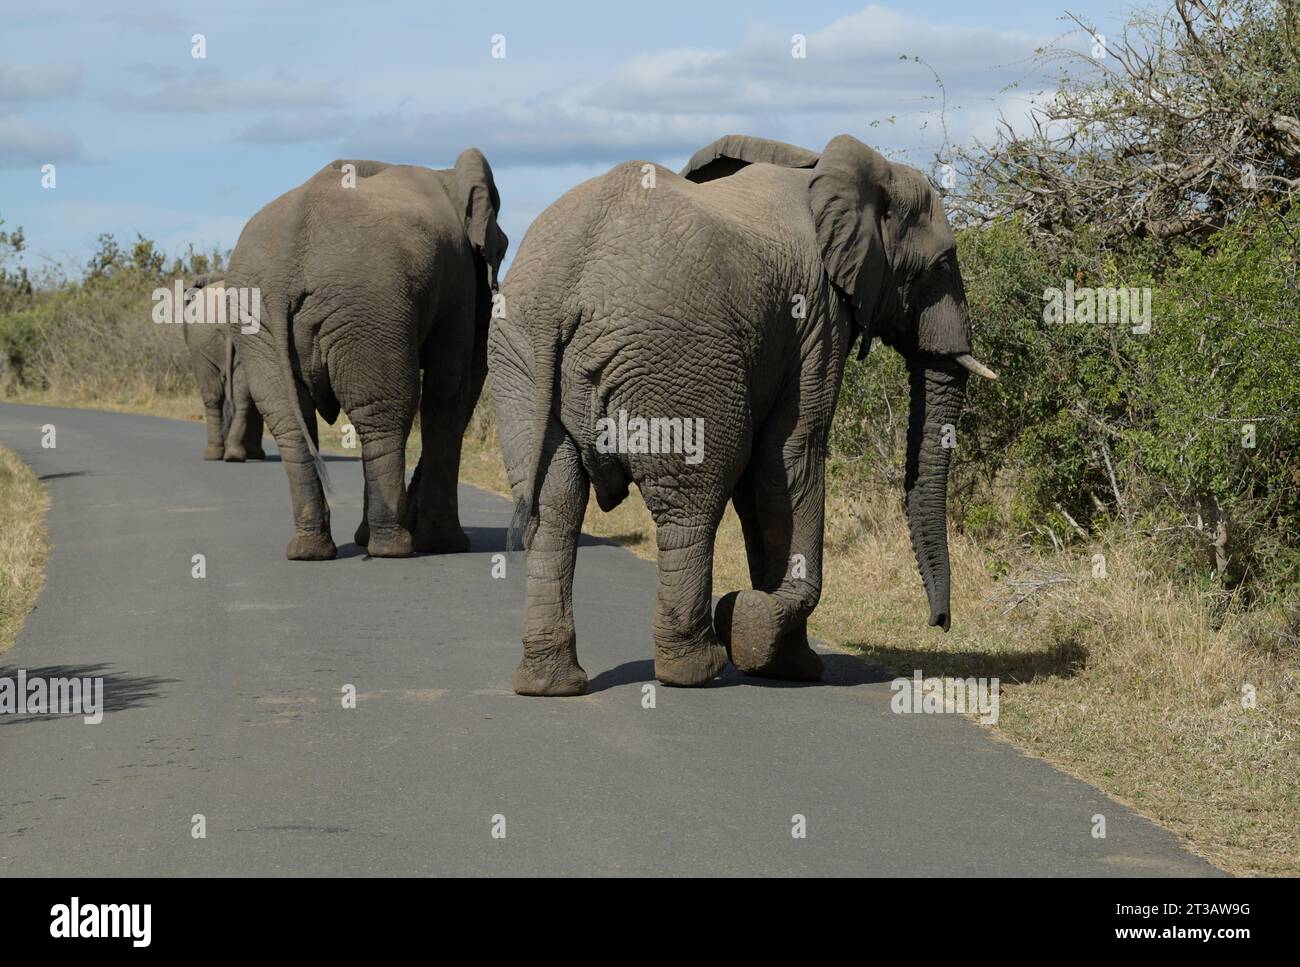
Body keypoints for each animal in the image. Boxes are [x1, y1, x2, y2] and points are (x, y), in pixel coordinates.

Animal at [223, 151, 508, 560]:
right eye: (501, 248)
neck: (448, 177)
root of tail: (284, 265)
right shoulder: (458, 284)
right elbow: (447, 391)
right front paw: (447, 546)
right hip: (369, 303)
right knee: (385, 413)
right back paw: (393, 547)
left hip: (257, 316)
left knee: (292, 421)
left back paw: (311, 550)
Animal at [489, 133, 997, 696]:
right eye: (942, 265)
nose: (939, 623)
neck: (820, 169)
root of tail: (563, 280)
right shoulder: (817, 317)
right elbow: (788, 456)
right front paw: (770, 645)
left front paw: (779, 654)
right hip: (676, 363)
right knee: (692, 503)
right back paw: (695, 669)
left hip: (518, 360)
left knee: (553, 507)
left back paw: (551, 683)